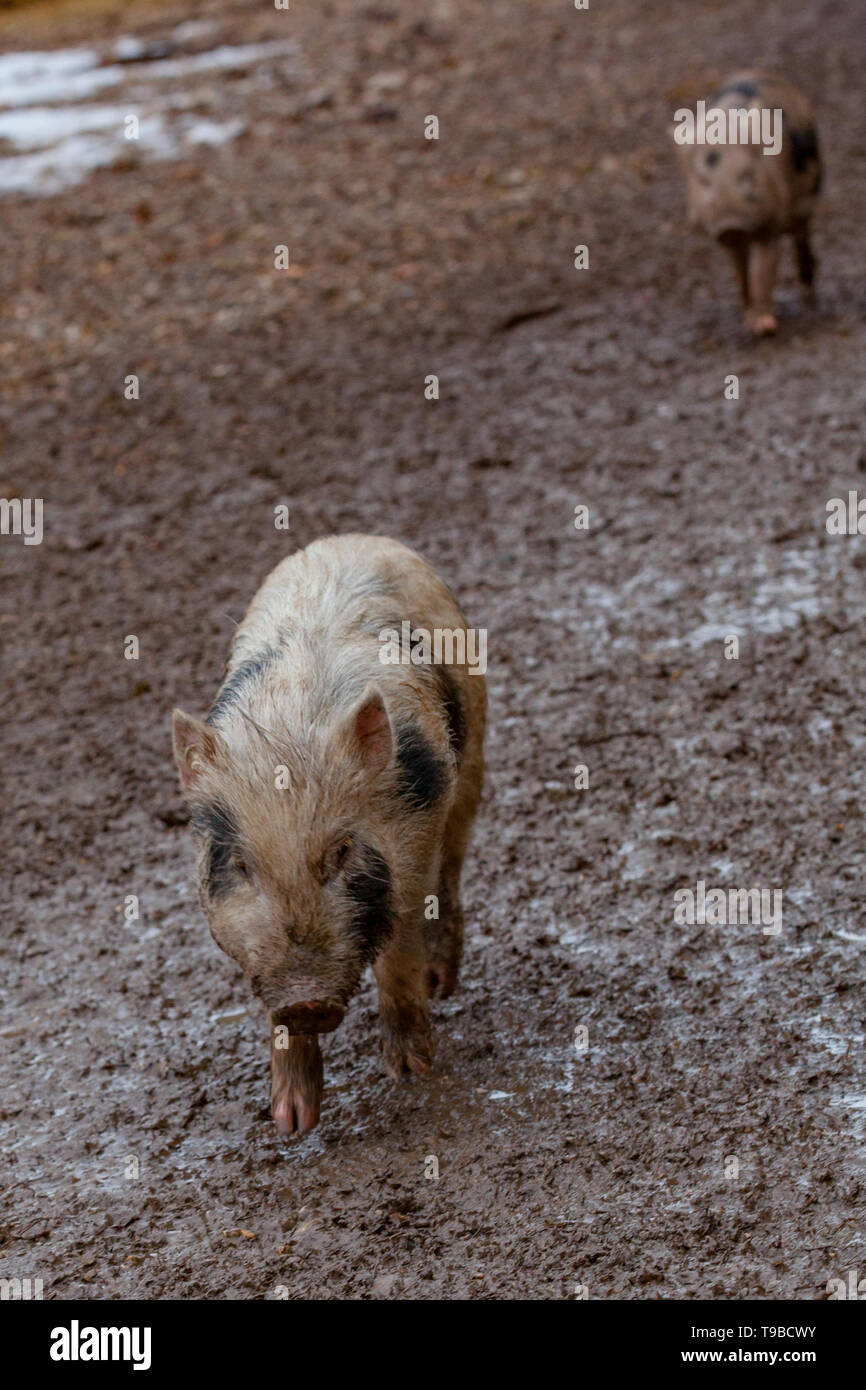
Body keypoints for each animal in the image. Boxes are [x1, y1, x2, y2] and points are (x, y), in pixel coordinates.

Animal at [171, 534, 486, 1135]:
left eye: (341, 851)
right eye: (242, 866)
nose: (305, 1001)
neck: (290, 732)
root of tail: (354, 539)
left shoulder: (411, 846)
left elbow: (398, 954)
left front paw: (411, 1072)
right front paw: (292, 1124)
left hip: (475, 754)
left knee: (454, 866)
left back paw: (442, 984)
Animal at [674, 72, 822, 334]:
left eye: (748, 175)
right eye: (702, 180)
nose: (729, 223)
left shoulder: (770, 224)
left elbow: (762, 270)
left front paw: (765, 328)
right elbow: (740, 270)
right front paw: (747, 319)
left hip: (808, 195)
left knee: (801, 235)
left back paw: (808, 291)